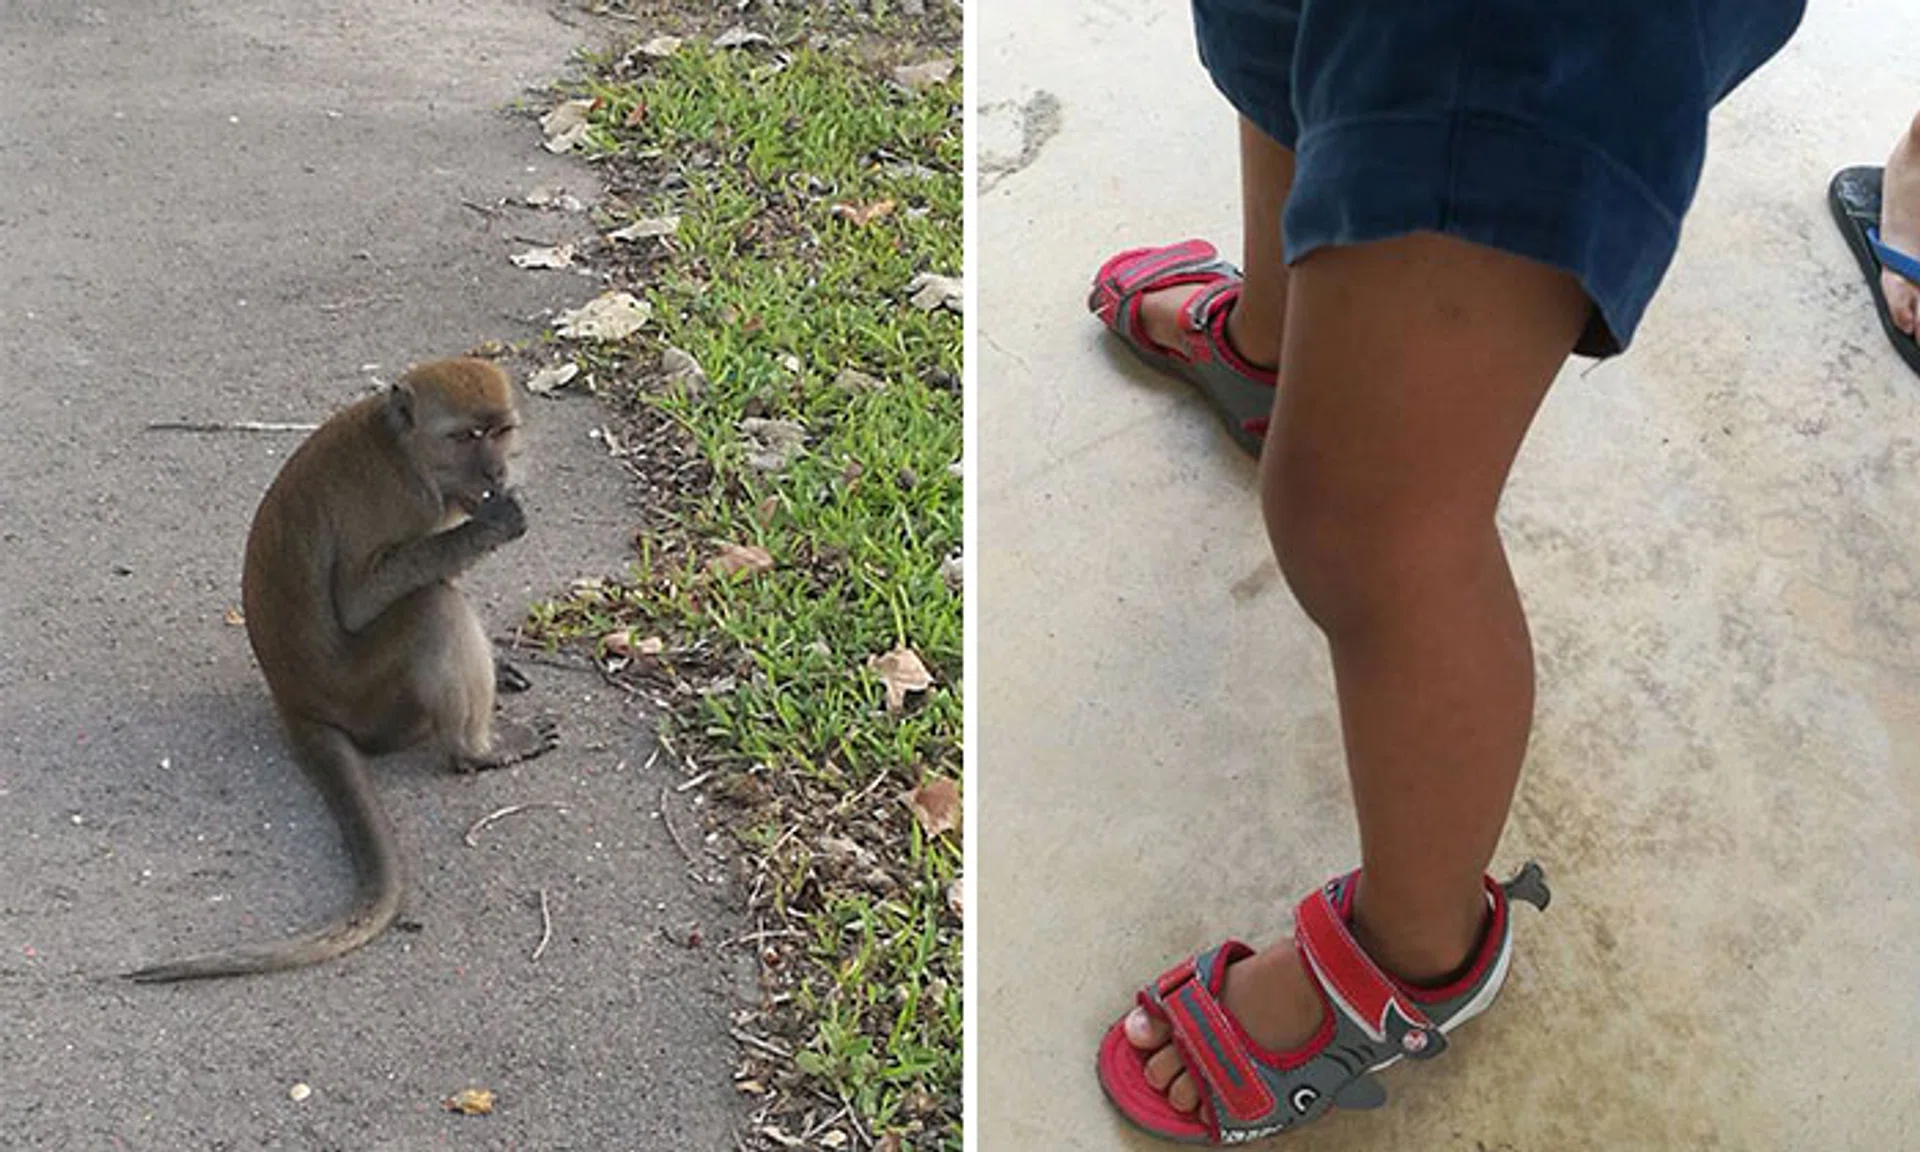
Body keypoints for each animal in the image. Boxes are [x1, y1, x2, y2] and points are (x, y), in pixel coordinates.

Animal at [126, 358, 557, 983]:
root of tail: (295, 701)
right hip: (371, 699)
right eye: (464, 437)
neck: (405, 449)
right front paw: (493, 525)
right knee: (433, 608)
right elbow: (359, 598)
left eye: (499, 431)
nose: (495, 470)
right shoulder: (402, 500)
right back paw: (475, 749)